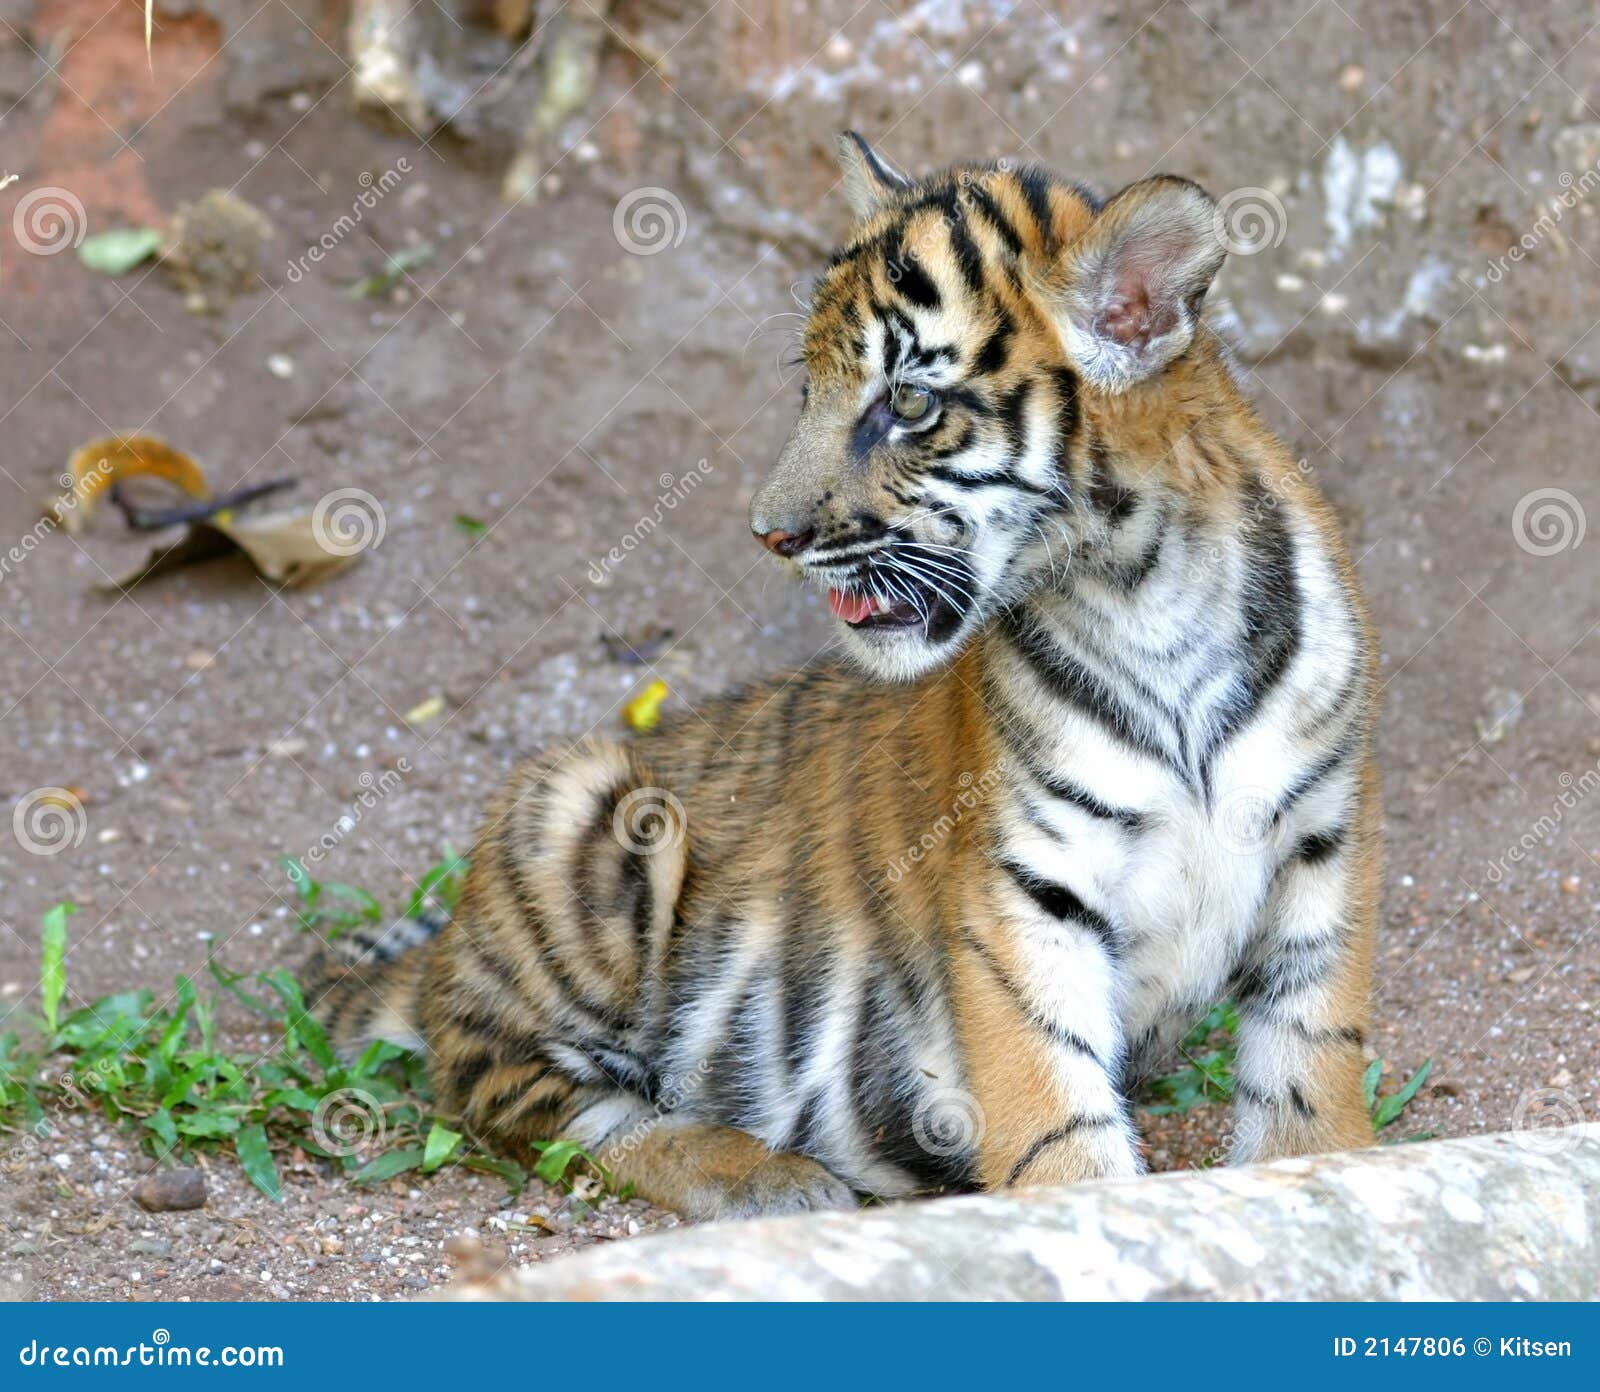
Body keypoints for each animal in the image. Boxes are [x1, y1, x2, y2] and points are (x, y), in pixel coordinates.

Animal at [304, 133, 1380, 1220]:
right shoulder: (1026, 890)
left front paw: (1323, 1181)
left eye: (908, 401)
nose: (770, 536)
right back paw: (764, 1177)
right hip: (582, 797)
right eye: (808, 391)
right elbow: (1057, 1115)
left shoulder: (1323, 845)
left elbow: (1309, 1065)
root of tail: (447, 951)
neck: (1147, 599)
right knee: (530, 1096)